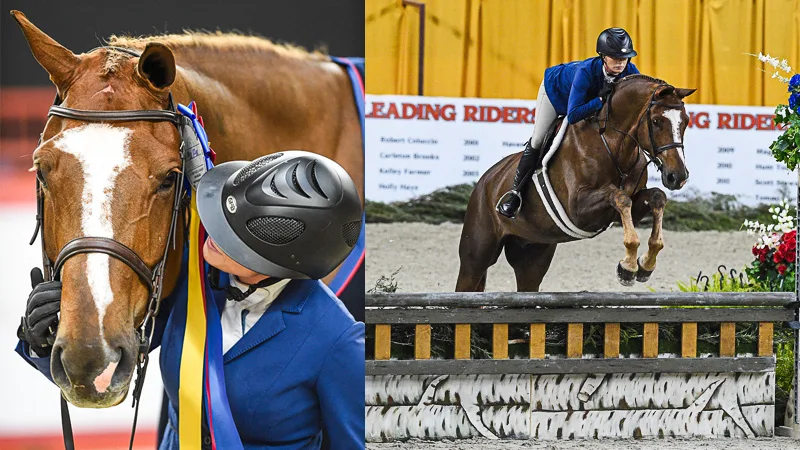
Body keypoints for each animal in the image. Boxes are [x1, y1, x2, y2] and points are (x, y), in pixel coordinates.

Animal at [456, 75, 695, 292]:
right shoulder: (578, 210)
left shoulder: (631, 206)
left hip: (532, 255)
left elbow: (656, 197)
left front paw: (645, 264)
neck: (614, 145)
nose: (677, 176)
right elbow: (619, 196)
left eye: (685, 121)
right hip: (476, 256)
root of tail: (485, 180)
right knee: (467, 279)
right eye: (656, 122)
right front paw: (627, 267)